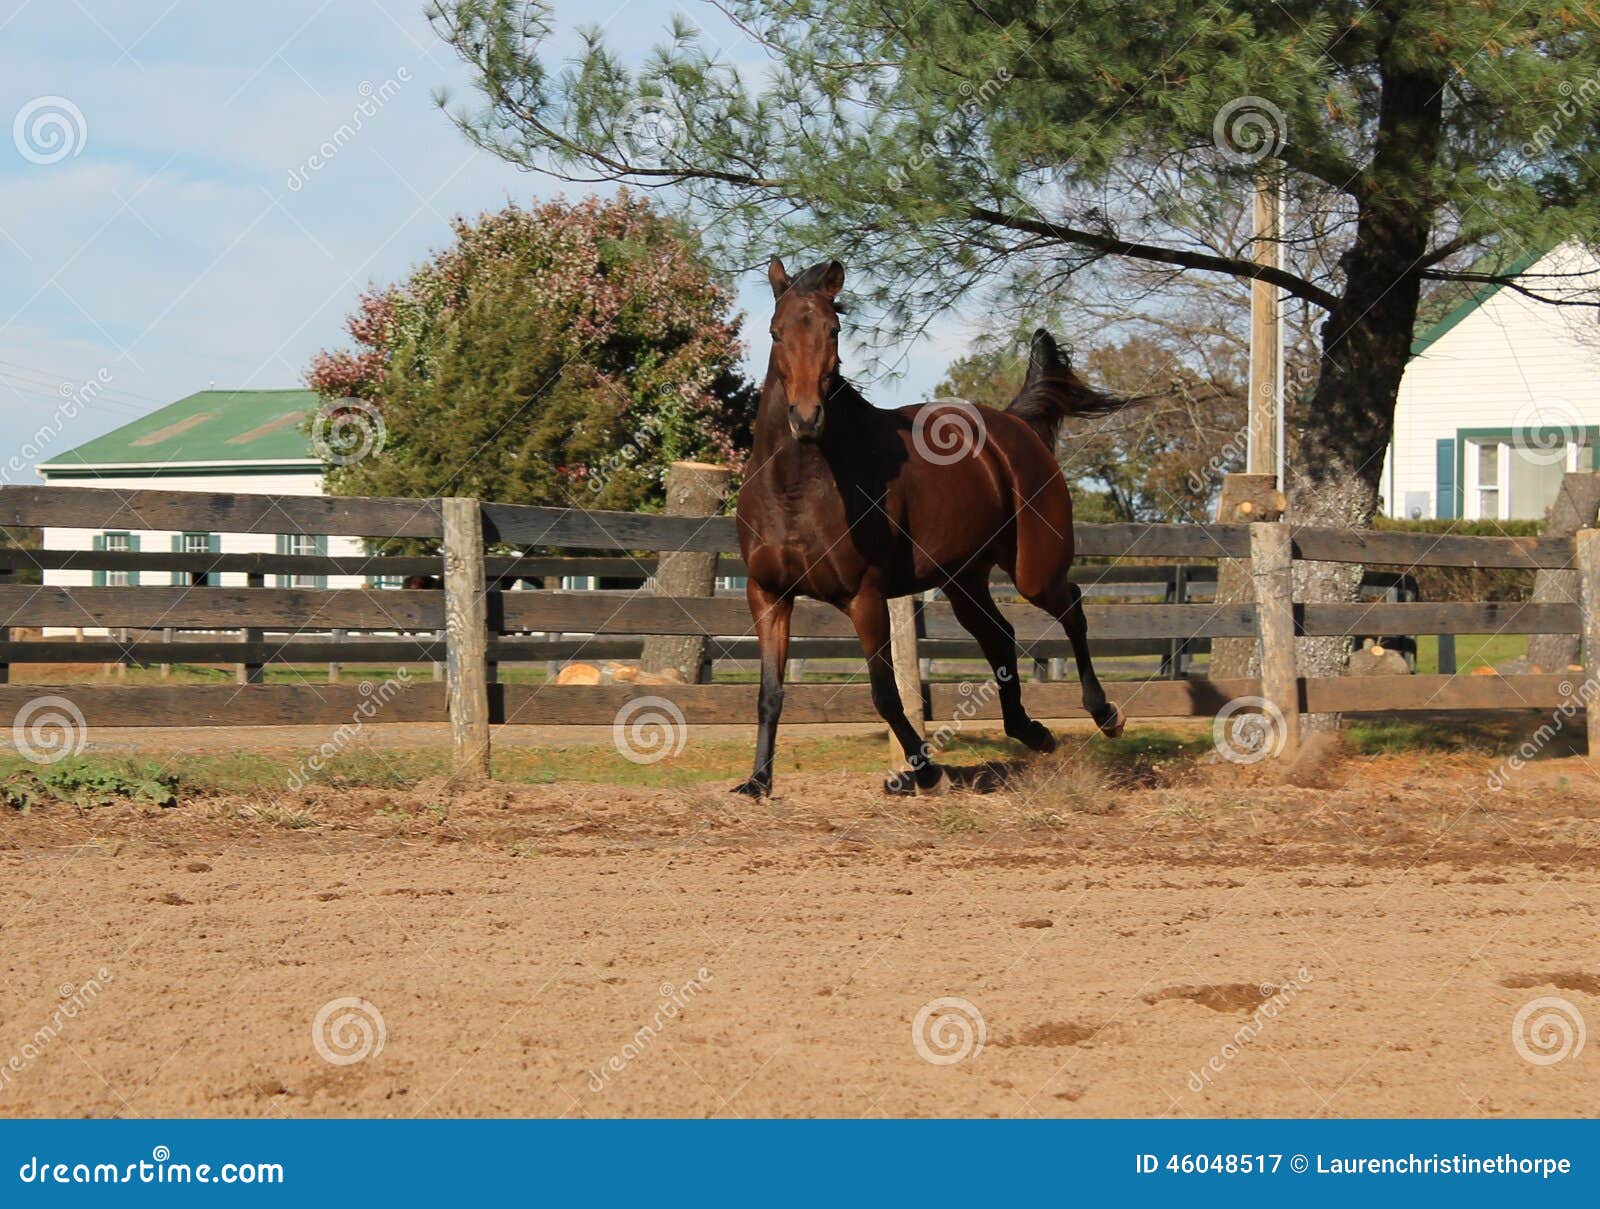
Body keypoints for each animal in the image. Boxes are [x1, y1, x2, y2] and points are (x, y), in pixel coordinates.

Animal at [732, 257, 1130, 797]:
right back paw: (1031, 732)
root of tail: (1014, 426)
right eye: (775, 332)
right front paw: (757, 782)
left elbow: (885, 694)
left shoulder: (865, 598)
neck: (796, 490)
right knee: (999, 634)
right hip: (963, 580)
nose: (807, 418)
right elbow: (769, 693)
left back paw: (1104, 713)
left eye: (834, 330)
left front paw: (927, 771)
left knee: (1070, 607)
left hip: (1033, 570)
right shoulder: (767, 595)